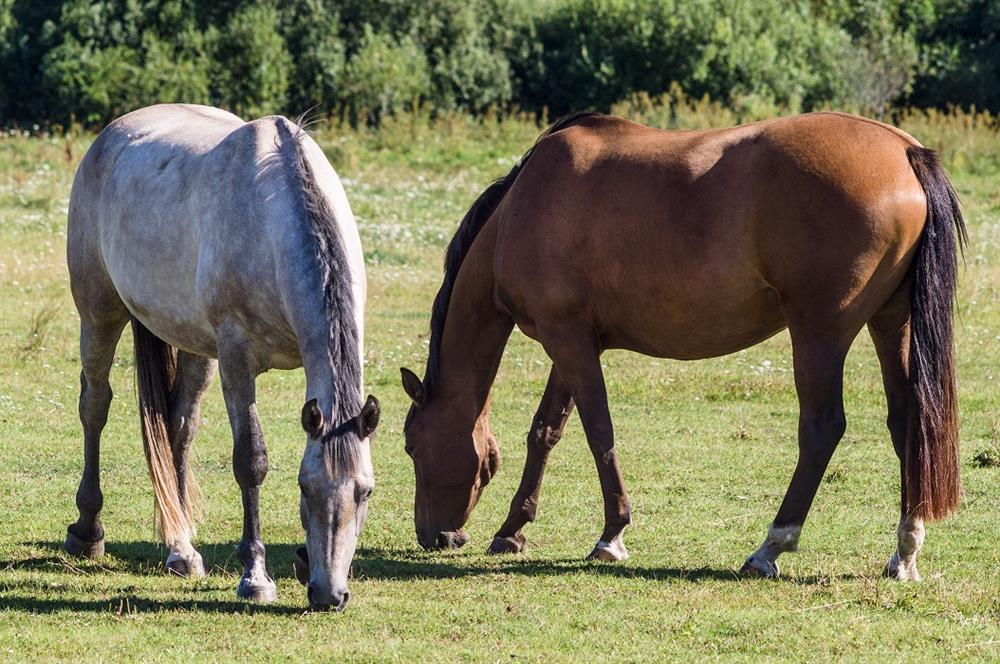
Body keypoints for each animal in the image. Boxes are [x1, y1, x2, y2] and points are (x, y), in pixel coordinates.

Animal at [65, 103, 379, 611]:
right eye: (305, 487)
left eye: (365, 492)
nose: (330, 594)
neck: (272, 221)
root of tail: (110, 136)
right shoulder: (237, 358)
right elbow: (251, 460)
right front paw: (256, 575)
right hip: (99, 313)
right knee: (95, 405)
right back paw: (87, 532)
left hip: (196, 347)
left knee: (178, 427)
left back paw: (180, 549)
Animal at [400, 111, 965, 580]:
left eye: (410, 445)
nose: (436, 537)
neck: (521, 210)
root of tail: (905, 151)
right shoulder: (573, 341)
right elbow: (546, 432)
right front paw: (512, 530)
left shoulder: (567, 341)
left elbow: (598, 431)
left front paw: (611, 534)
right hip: (891, 324)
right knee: (906, 423)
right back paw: (905, 551)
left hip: (819, 334)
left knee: (822, 429)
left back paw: (770, 547)